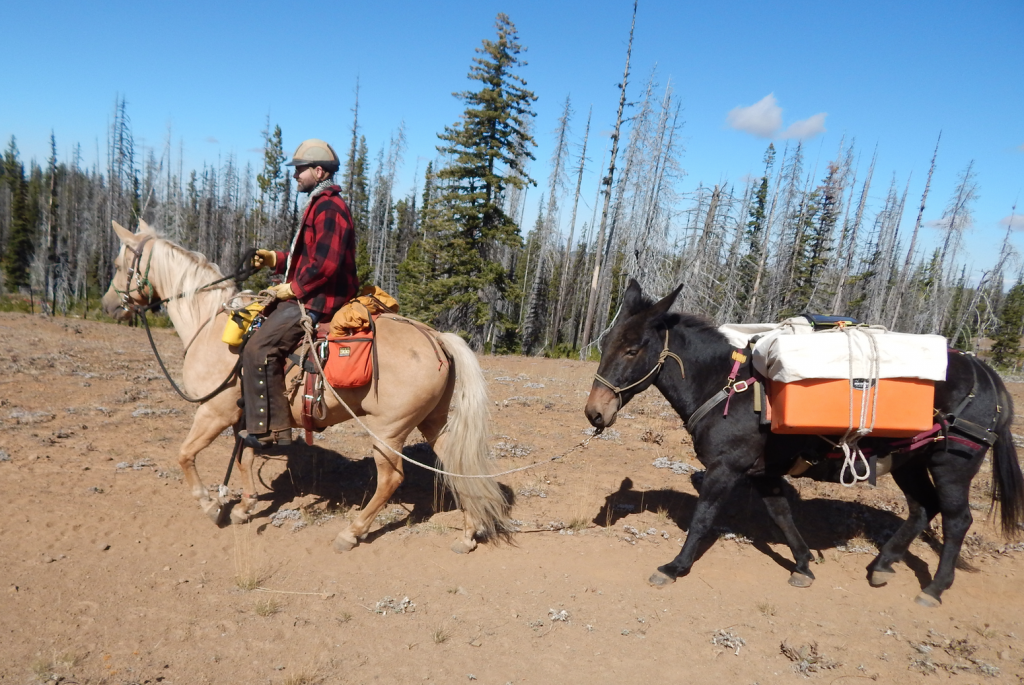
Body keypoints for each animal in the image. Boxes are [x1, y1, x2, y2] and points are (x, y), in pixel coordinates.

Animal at [101, 220, 509, 554]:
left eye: (120, 265)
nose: (108, 306)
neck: (211, 327)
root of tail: (437, 338)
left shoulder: (213, 411)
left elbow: (185, 454)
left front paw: (209, 503)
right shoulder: (248, 416)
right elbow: (246, 459)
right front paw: (244, 506)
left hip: (388, 431)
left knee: (391, 479)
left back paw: (351, 532)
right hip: (433, 423)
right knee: (458, 468)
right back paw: (467, 534)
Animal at [585, 278, 1024, 606]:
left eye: (633, 348)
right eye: (605, 344)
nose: (595, 413)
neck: (725, 386)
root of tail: (985, 371)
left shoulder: (726, 468)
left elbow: (703, 518)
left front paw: (675, 567)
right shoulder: (762, 473)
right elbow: (782, 515)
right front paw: (803, 564)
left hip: (953, 465)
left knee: (956, 520)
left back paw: (934, 588)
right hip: (910, 462)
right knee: (922, 509)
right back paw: (882, 565)